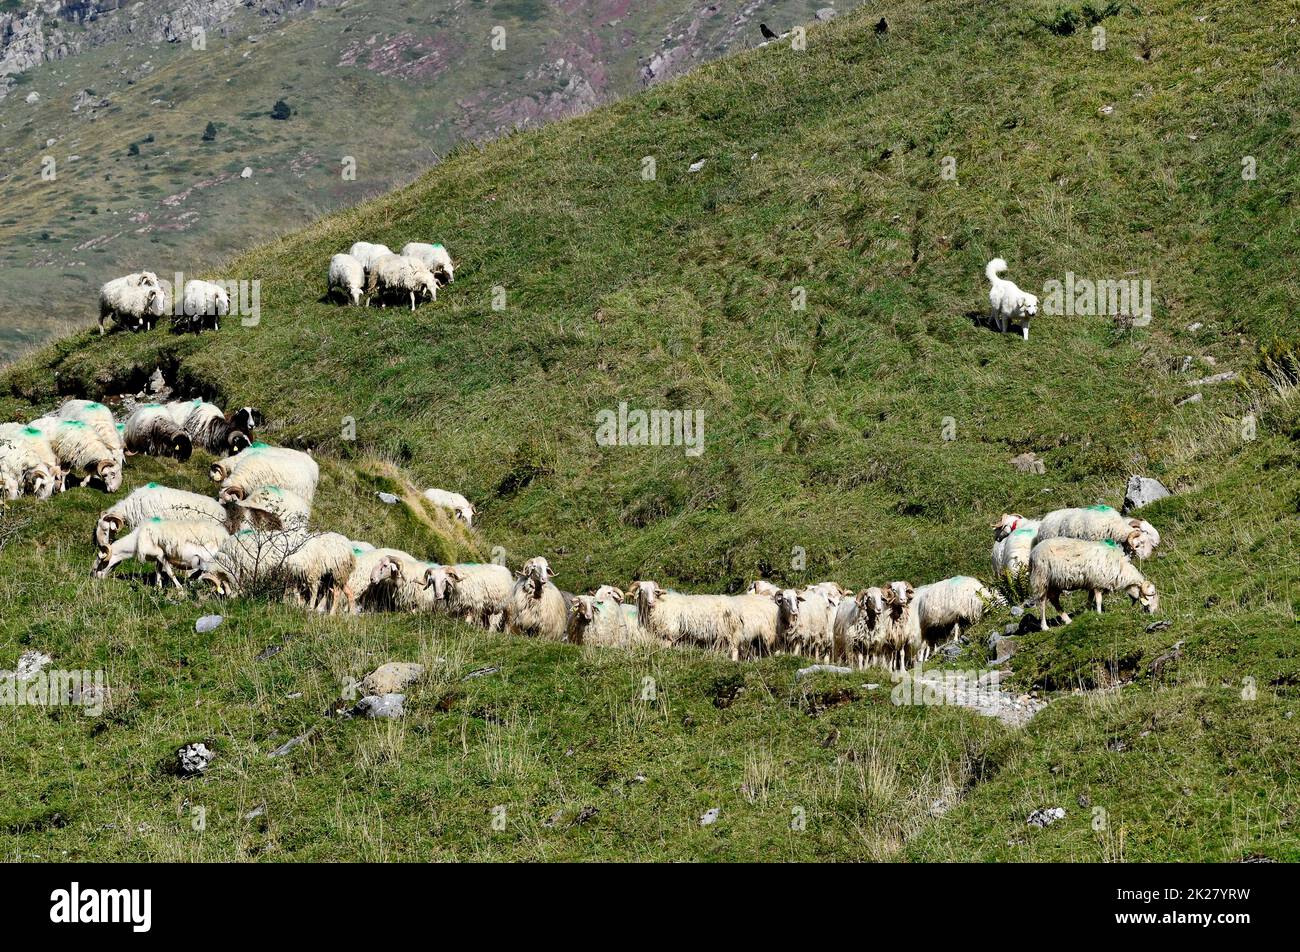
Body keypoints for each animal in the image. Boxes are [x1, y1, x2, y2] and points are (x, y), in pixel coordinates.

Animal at [94, 518, 230, 589]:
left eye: (100, 562)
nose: (96, 577)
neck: (136, 541)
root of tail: (224, 535)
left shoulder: (161, 555)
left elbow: (170, 572)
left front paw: (179, 589)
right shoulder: (158, 557)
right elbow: (158, 571)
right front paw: (158, 587)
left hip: (208, 558)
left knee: (206, 572)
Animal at [1029, 537, 1159, 631]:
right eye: (1151, 597)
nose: (1155, 612)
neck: (1121, 569)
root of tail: (1033, 551)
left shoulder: (1092, 583)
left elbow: (1089, 599)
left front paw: (1087, 613)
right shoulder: (1098, 583)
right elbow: (1098, 600)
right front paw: (1099, 614)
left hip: (1055, 582)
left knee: (1054, 599)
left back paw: (1067, 620)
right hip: (1042, 577)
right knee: (1042, 601)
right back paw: (1045, 626)